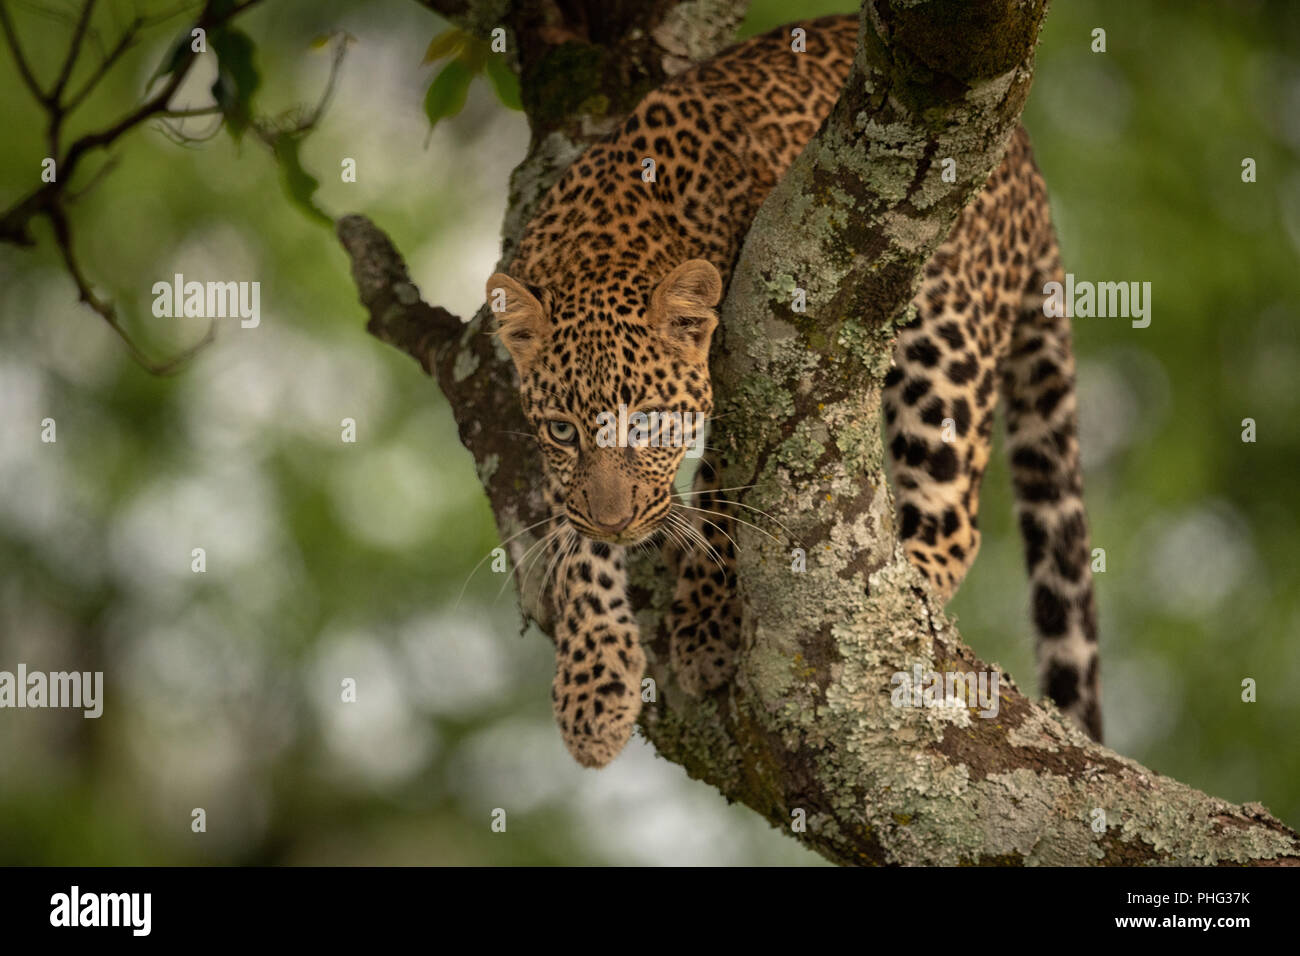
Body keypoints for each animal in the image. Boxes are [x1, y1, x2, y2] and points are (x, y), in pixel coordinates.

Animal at [485, 14, 1101, 768]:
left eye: (652, 424)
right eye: (562, 430)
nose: (616, 524)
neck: (602, 236)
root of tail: (1030, 170)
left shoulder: (752, 356)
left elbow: (723, 490)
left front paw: (708, 622)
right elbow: (570, 538)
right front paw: (593, 688)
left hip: (946, 331)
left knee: (957, 520)